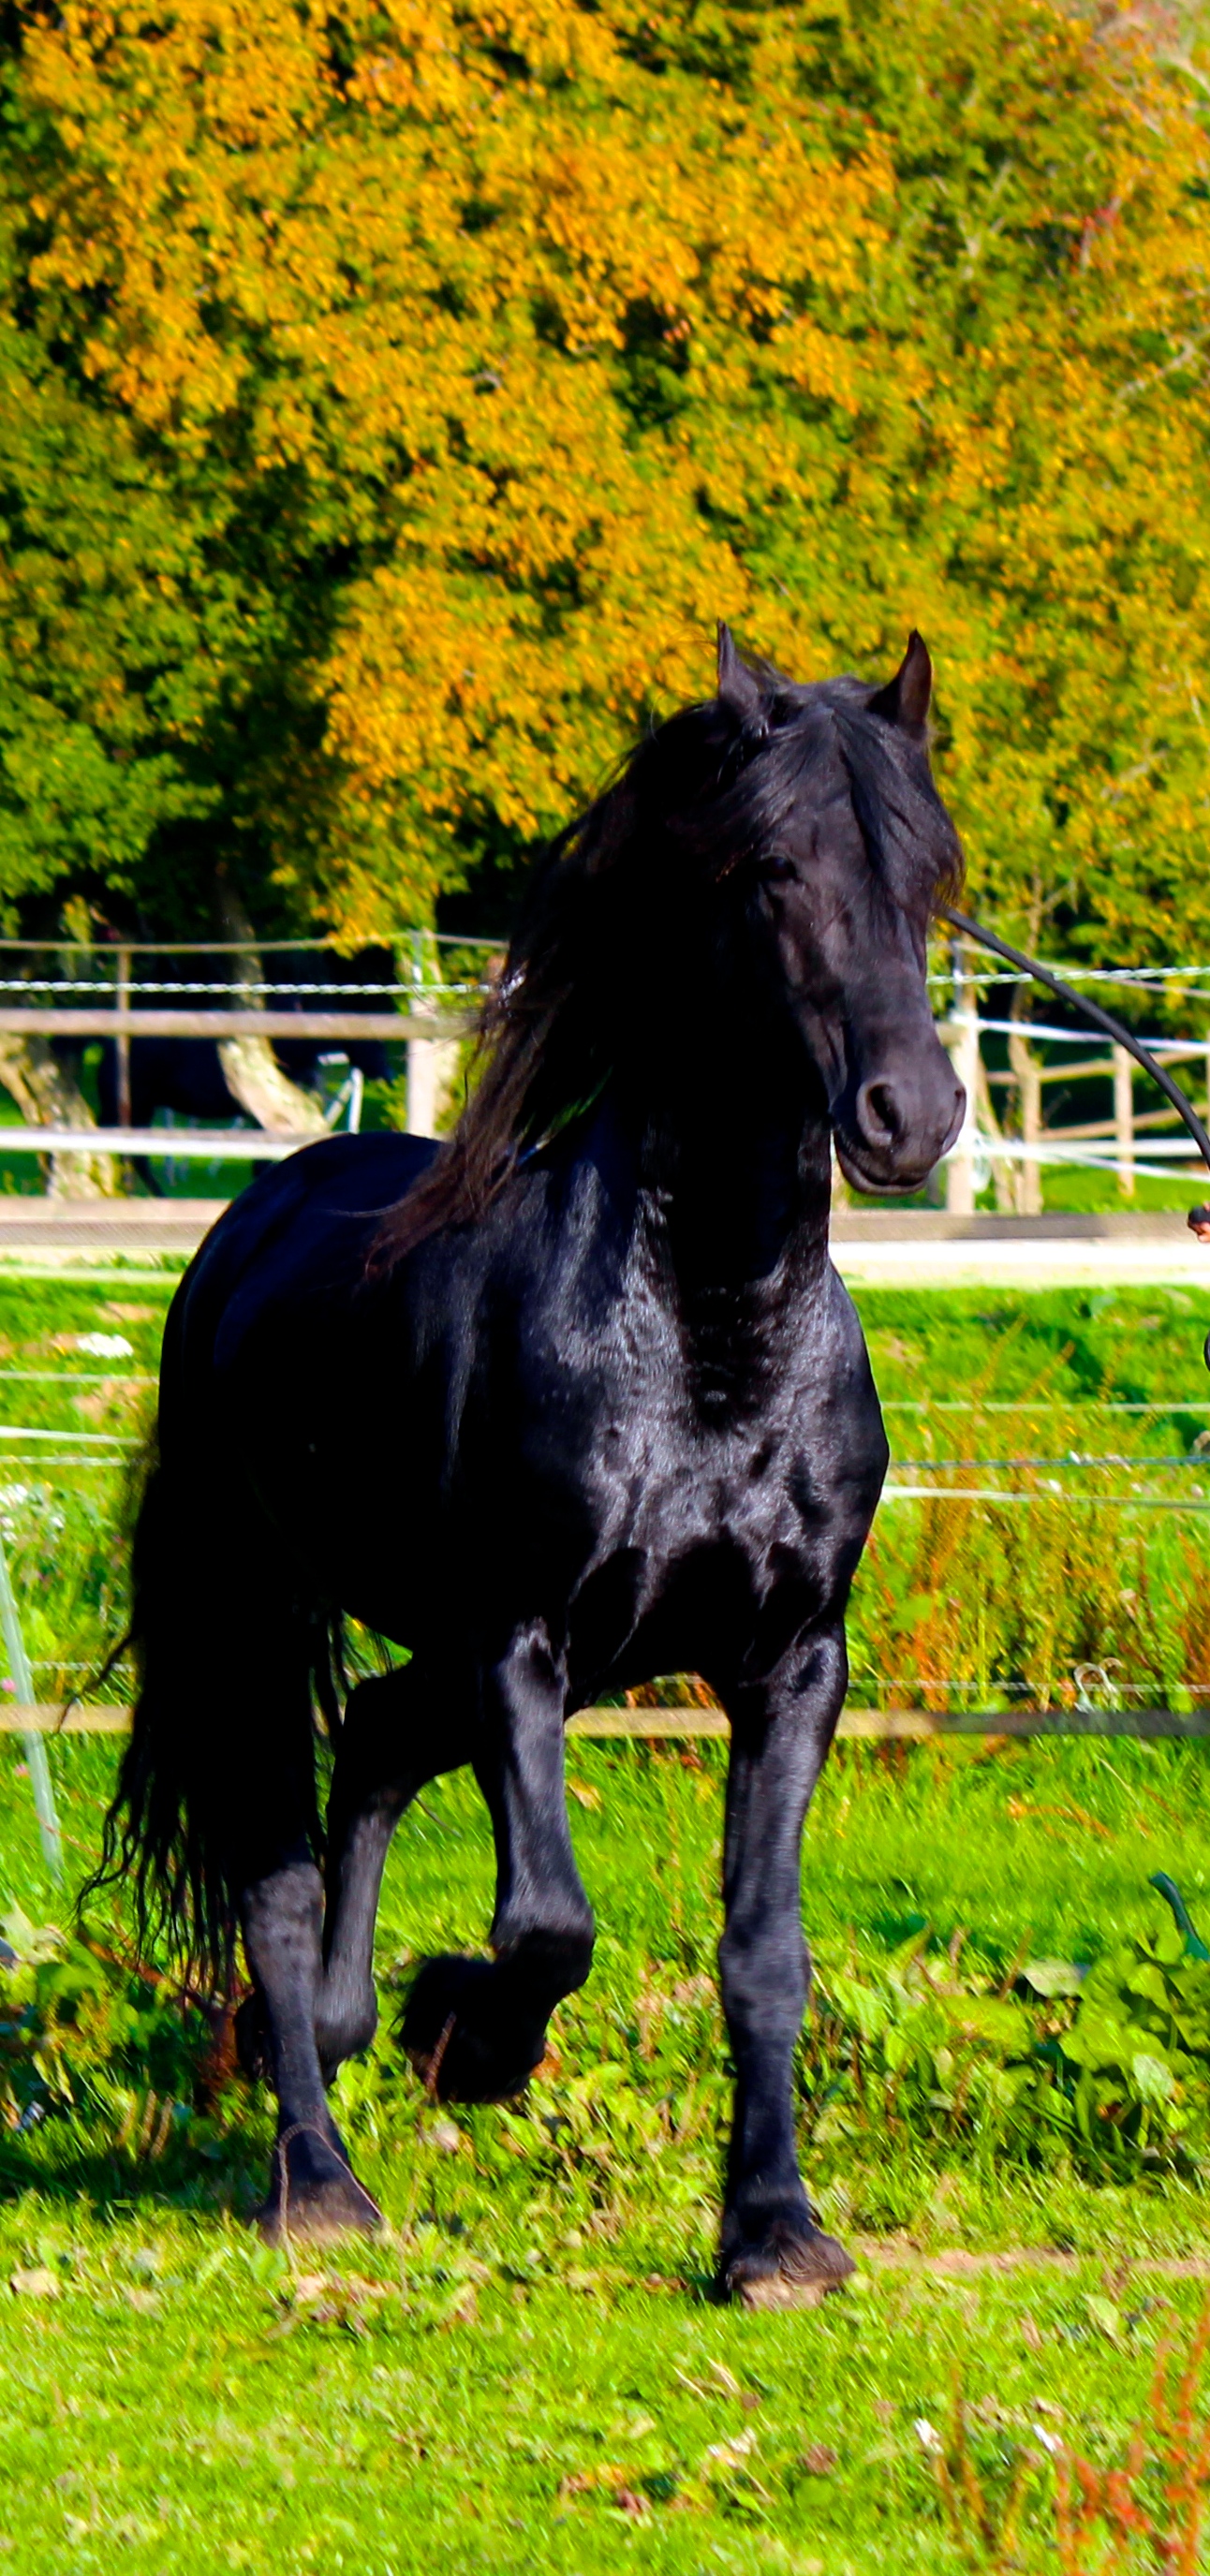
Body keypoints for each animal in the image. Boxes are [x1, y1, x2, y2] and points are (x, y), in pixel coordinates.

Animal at [95, 627, 964, 2302]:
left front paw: (774, 2231)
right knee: (277, 1873)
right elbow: (549, 1919)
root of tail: (251, 1219)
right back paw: (320, 2178)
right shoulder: (520, 1638)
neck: (706, 1327)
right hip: (261, 1617)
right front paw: (467, 2032)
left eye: (933, 871)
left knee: (374, 1738)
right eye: (772, 863)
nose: (914, 1112)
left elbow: (764, 1949)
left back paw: (354, 2032)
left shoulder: (790, 1658)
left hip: (474, 1650)